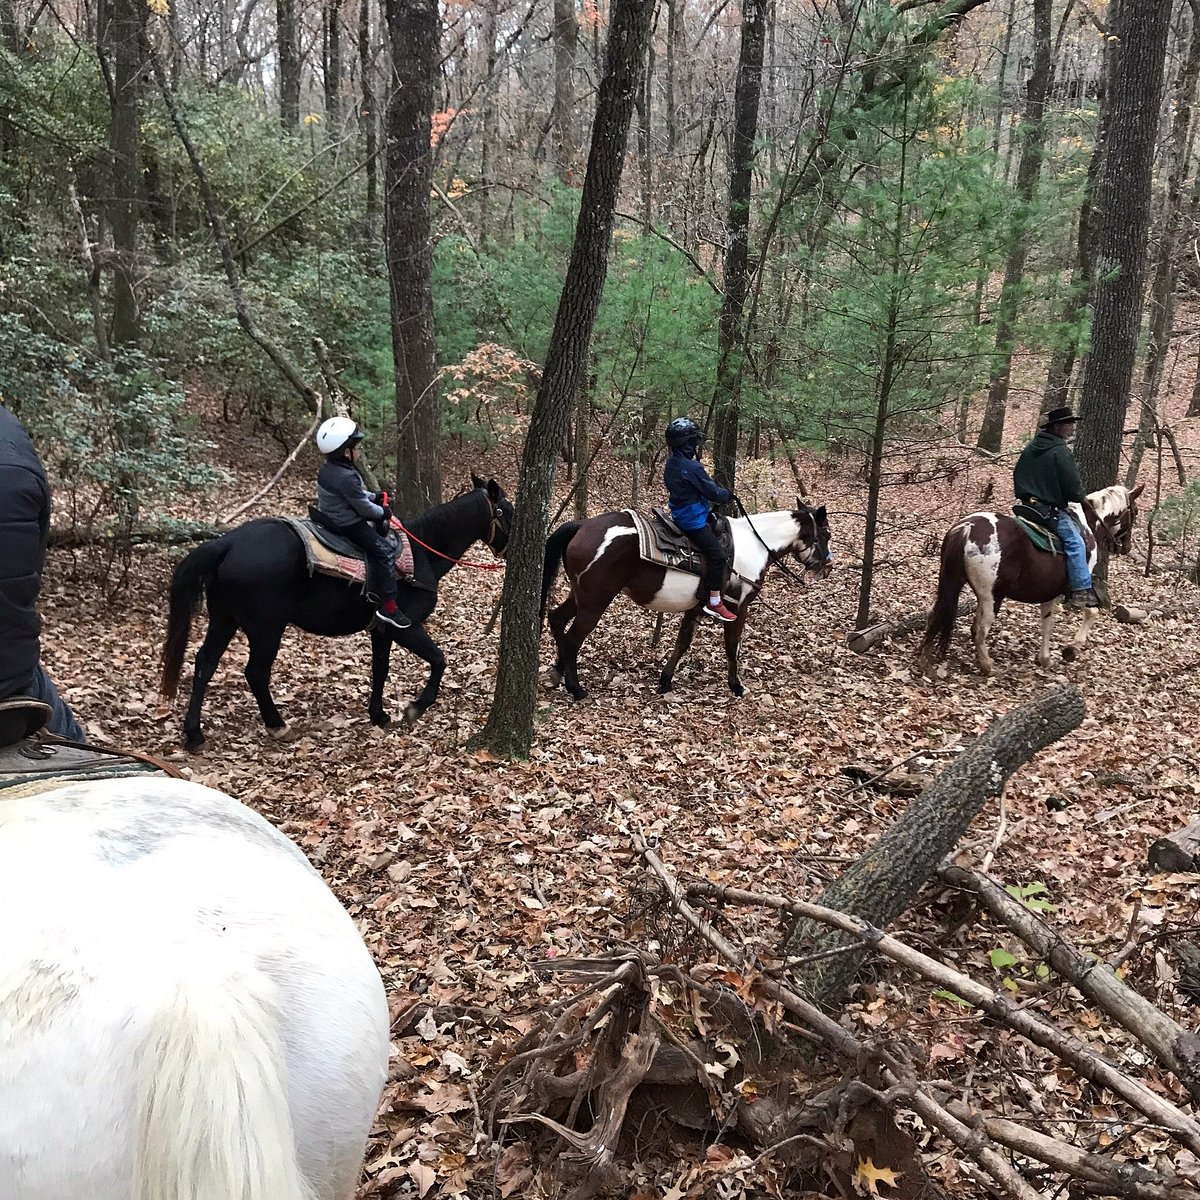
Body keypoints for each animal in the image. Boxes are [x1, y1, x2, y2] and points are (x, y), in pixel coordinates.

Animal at [161, 476, 514, 751]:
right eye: (508, 511)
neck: (421, 554)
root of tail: (227, 544)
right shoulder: (404, 626)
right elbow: (439, 660)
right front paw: (415, 708)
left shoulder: (380, 630)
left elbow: (380, 669)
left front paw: (379, 715)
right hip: (266, 629)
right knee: (255, 672)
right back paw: (277, 725)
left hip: (224, 619)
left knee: (205, 662)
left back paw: (194, 734)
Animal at [540, 504, 833, 700]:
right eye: (827, 535)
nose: (827, 568)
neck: (755, 546)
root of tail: (581, 525)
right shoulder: (739, 609)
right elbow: (731, 647)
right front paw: (736, 686)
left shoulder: (695, 608)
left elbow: (682, 643)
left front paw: (665, 681)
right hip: (595, 601)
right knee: (573, 638)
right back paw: (575, 688)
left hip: (580, 596)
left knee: (556, 618)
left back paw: (557, 671)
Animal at [914, 484, 1144, 676]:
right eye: (1135, 512)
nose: (1126, 547)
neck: (1088, 525)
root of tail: (968, 527)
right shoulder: (1076, 587)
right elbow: (1091, 612)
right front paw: (1071, 649)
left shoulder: (1050, 593)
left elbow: (1047, 623)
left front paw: (1045, 659)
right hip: (991, 597)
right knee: (979, 630)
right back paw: (988, 666)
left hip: (954, 585)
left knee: (936, 616)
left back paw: (926, 660)